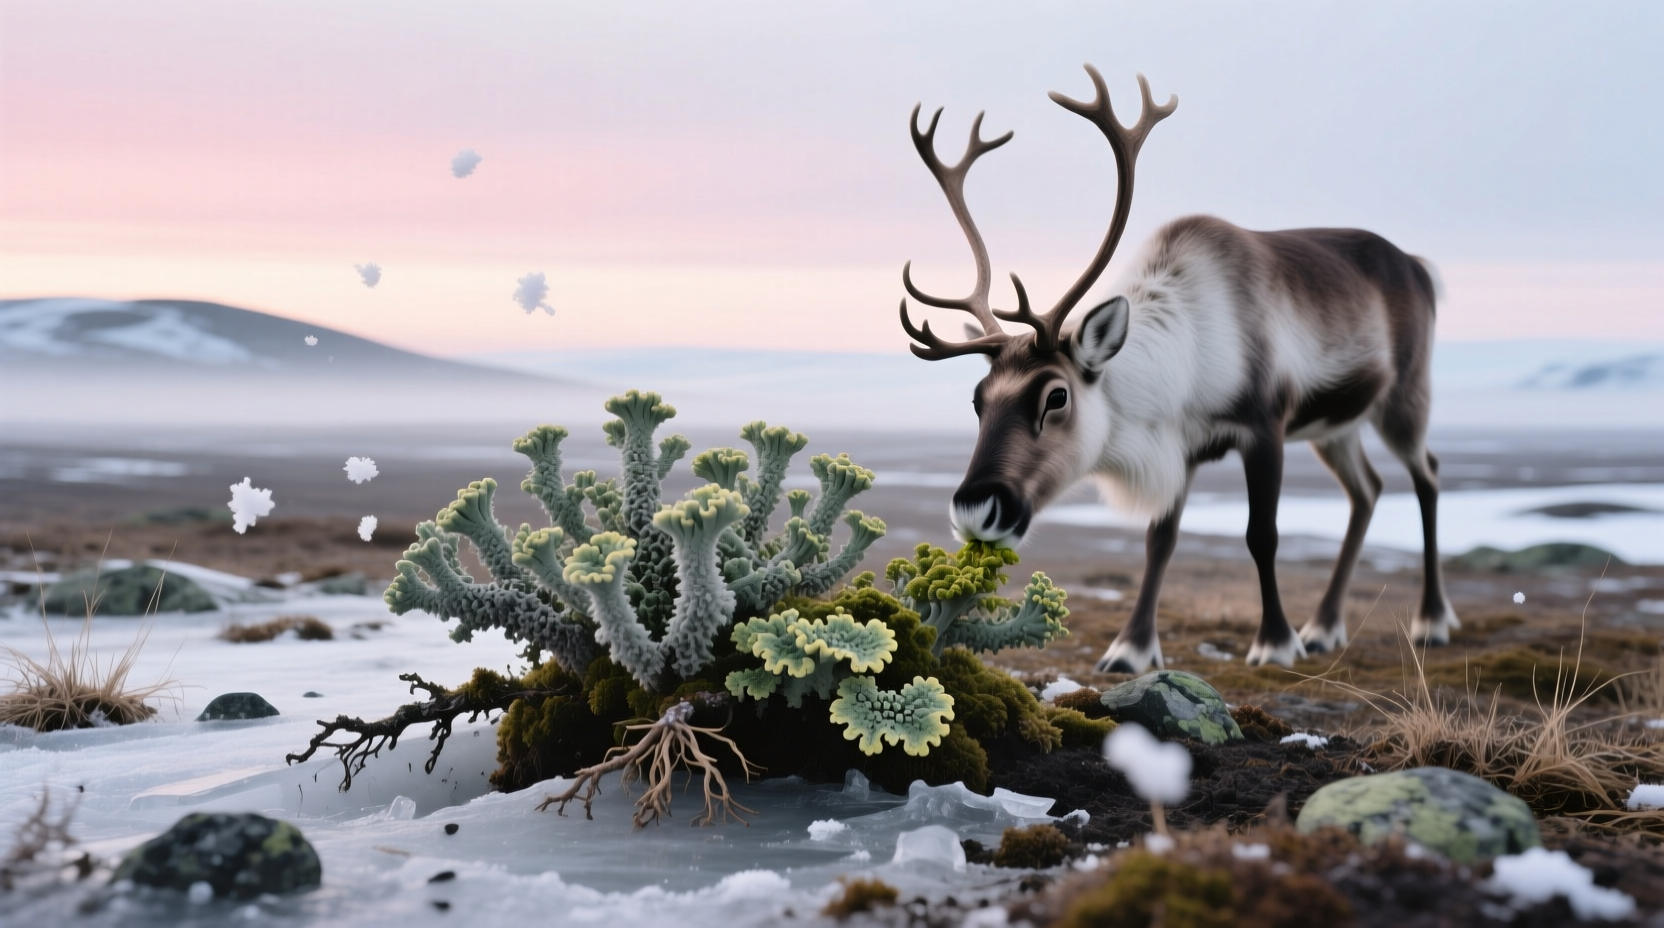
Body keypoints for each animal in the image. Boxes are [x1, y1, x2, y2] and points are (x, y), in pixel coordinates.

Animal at [898, 64, 1457, 671]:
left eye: (1056, 396)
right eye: (978, 398)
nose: (975, 507)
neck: (1185, 363)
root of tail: (1420, 267)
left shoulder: (1265, 427)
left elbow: (1262, 533)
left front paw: (1274, 642)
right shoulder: (1180, 450)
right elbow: (1159, 540)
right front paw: (1131, 649)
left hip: (1404, 397)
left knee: (1427, 474)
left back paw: (1431, 620)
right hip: (1336, 425)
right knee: (1368, 490)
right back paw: (1325, 627)